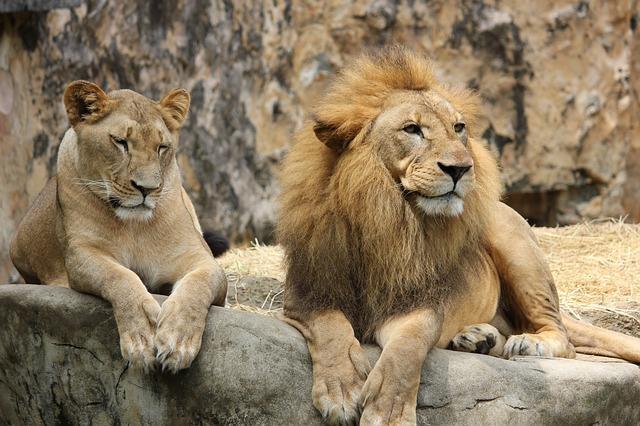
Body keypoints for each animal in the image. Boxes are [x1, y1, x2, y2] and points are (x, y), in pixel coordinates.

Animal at [10, 81, 227, 373]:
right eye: (121, 142)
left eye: (162, 147)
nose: (147, 188)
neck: (134, 226)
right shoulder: (81, 255)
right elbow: (120, 276)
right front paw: (142, 335)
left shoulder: (200, 258)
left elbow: (198, 286)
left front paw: (178, 340)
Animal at [277, 47, 640, 425]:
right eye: (412, 129)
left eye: (458, 128)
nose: (461, 168)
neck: (387, 217)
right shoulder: (308, 294)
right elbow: (331, 328)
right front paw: (341, 390)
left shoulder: (419, 304)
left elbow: (404, 353)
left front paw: (388, 413)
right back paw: (478, 338)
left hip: (513, 241)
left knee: (562, 336)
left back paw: (528, 342)